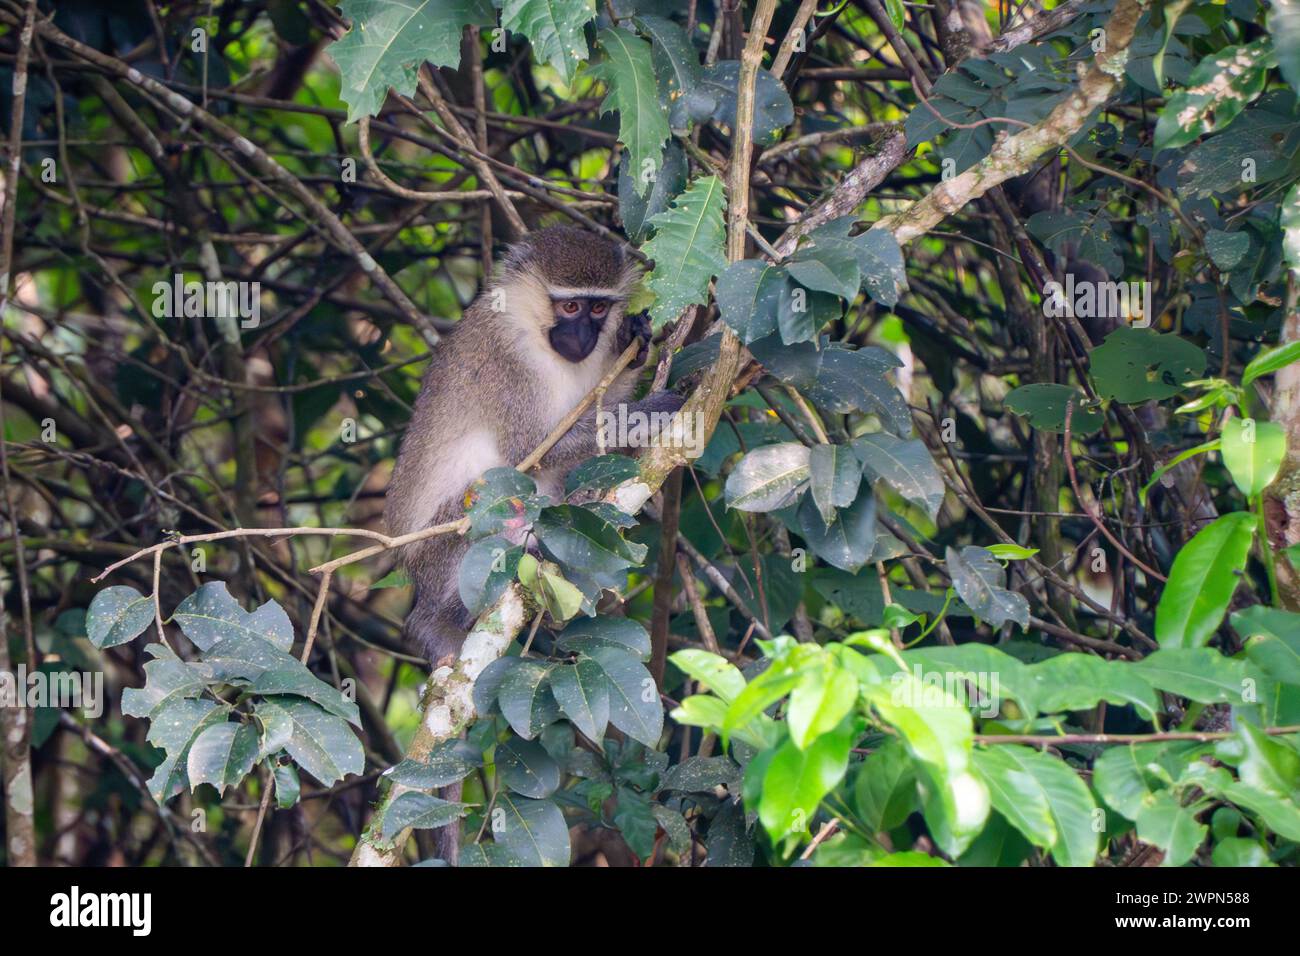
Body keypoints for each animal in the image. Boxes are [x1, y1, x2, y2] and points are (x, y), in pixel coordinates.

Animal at [384, 226, 684, 666]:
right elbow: (532, 449)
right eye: (570, 306)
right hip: (442, 548)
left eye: (598, 309)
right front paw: (652, 411)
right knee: (493, 500)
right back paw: (441, 619)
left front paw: (634, 343)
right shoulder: (505, 358)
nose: (583, 338)